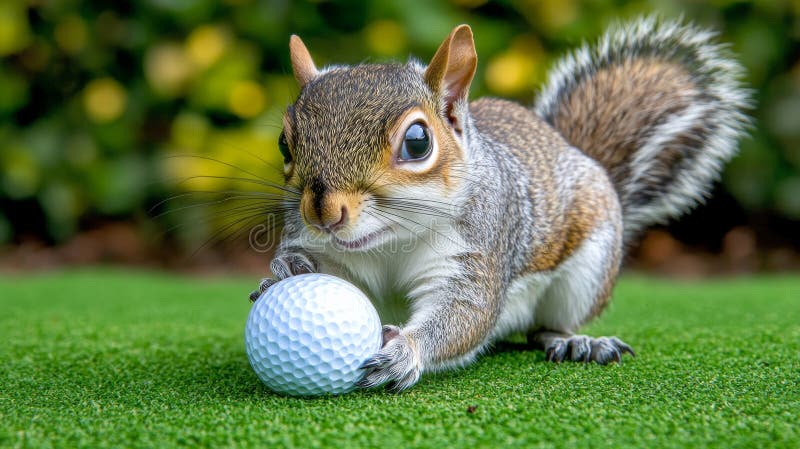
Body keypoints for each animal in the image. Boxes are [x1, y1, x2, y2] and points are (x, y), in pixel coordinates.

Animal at [248, 17, 750, 391]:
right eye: (284, 144)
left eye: (417, 142)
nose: (324, 213)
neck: (390, 241)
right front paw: (286, 268)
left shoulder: (478, 251)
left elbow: (466, 314)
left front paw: (405, 352)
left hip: (586, 272)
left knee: (547, 325)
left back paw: (576, 342)